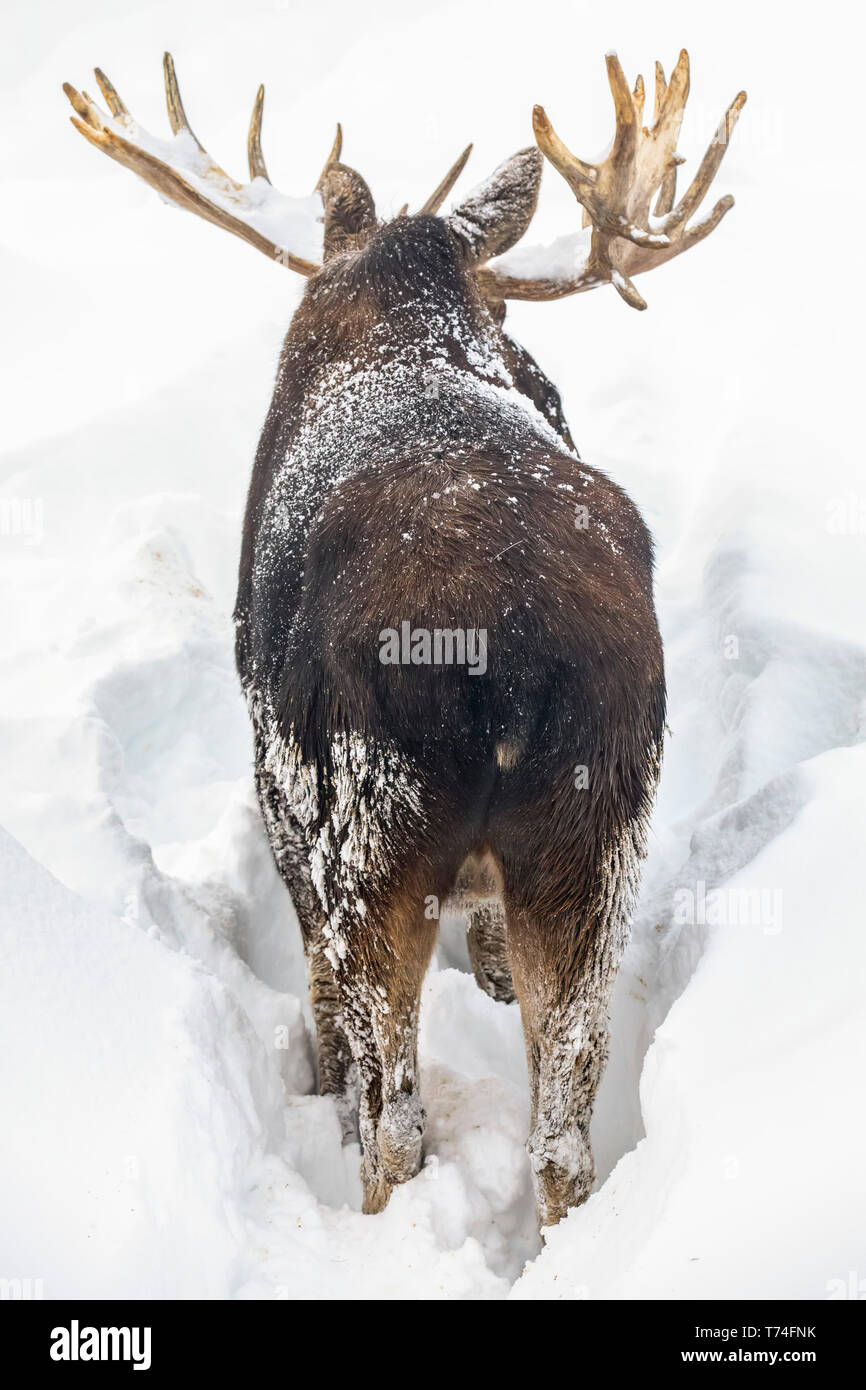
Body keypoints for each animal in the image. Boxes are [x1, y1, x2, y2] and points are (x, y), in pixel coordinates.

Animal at [64, 49, 745, 1228]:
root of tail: (510, 668)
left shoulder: (282, 794)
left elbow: (327, 1011)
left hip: (369, 822)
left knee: (397, 1112)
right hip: (598, 827)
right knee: (562, 1122)